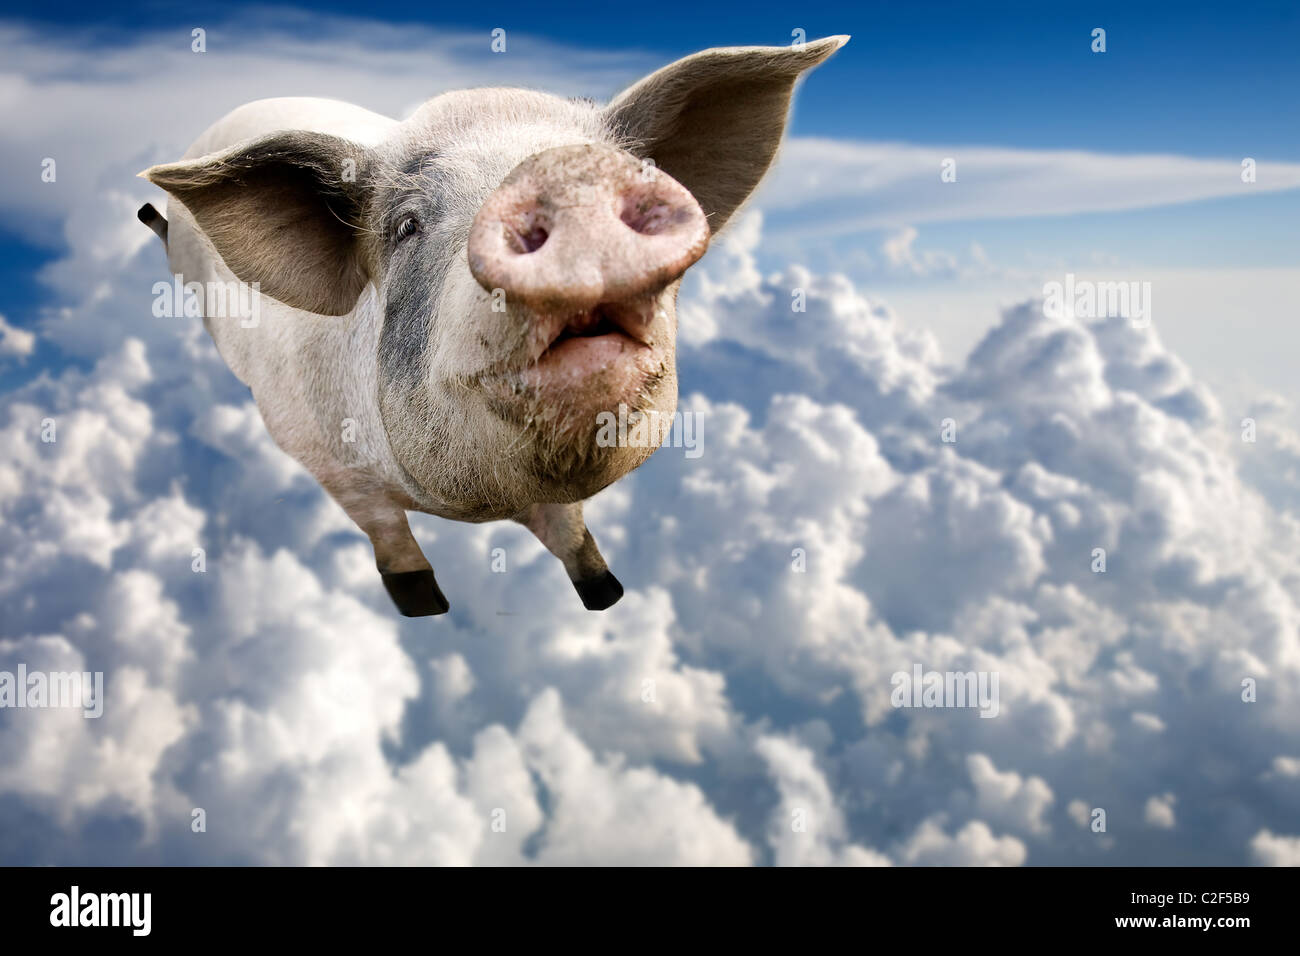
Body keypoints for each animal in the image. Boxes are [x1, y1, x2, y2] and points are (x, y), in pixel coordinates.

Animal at [138, 36, 848, 617]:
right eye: (406, 226)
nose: (564, 174)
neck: (481, 505)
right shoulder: (316, 452)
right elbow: (384, 530)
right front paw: (427, 608)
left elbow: (569, 528)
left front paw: (607, 593)